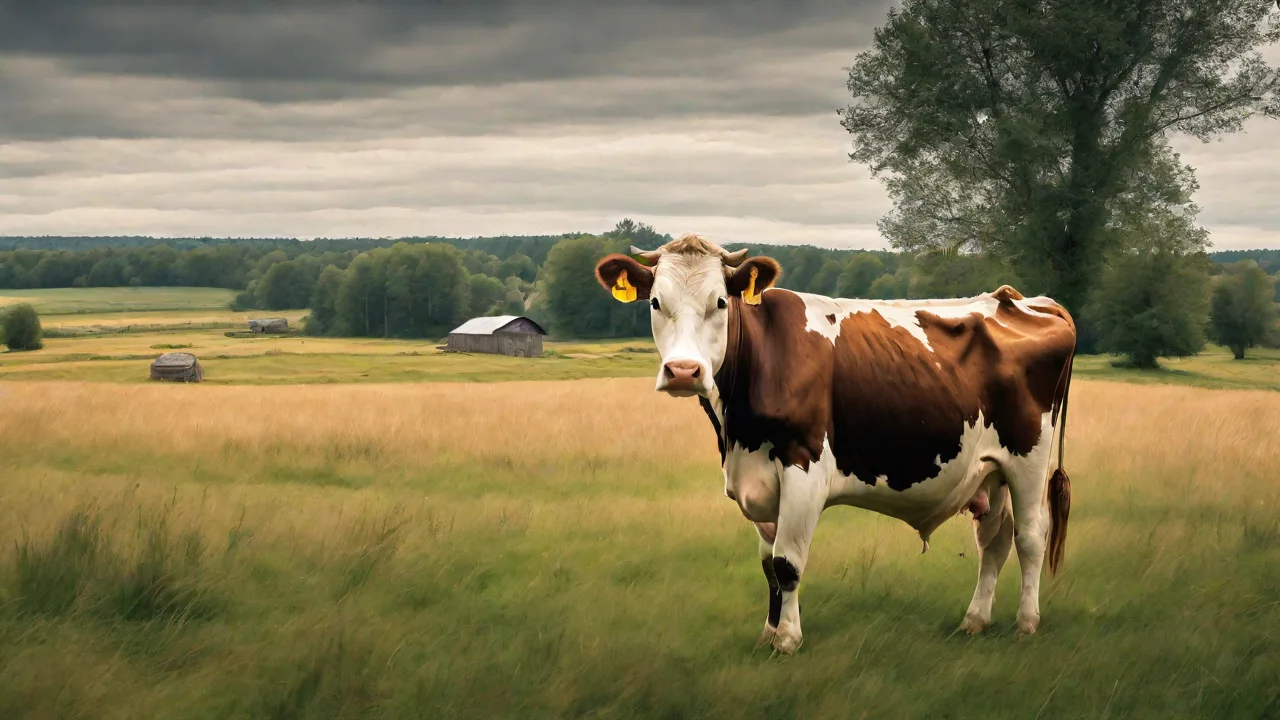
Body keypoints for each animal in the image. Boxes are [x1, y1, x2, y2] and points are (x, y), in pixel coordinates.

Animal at [594, 234, 1076, 655]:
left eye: (719, 302)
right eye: (656, 303)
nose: (683, 371)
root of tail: (1027, 300)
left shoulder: (804, 467)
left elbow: (787, 562)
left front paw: (788, 641)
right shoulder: (757, 478)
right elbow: (768, 565)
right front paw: (768, 634)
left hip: (1029, 457)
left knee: (1031, 535)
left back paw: (1026, 623)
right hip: (991, 468)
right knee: (994, 539)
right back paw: (975, 621)